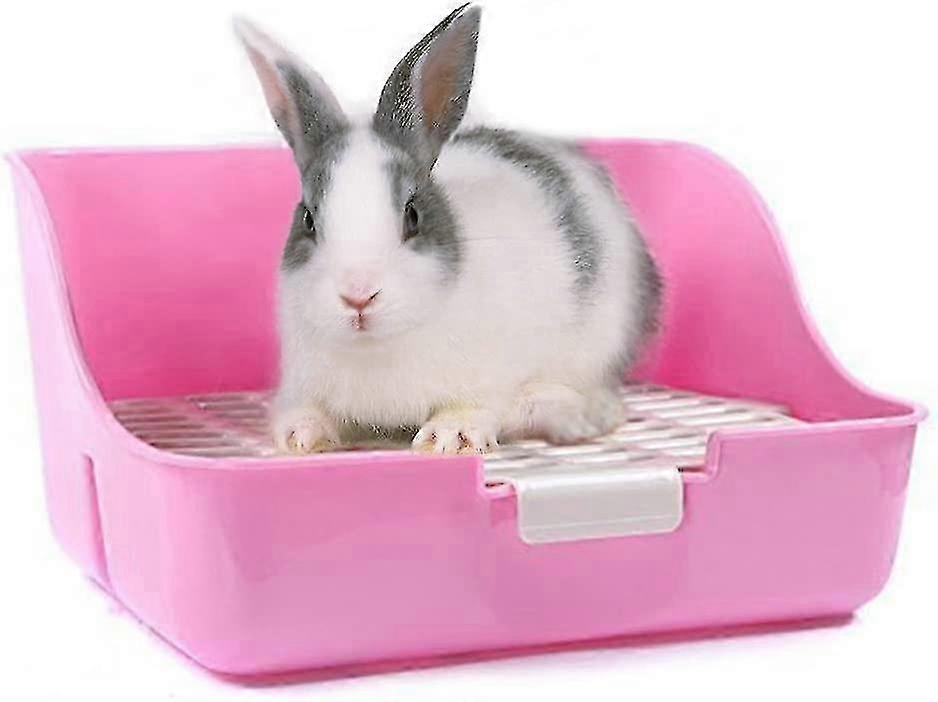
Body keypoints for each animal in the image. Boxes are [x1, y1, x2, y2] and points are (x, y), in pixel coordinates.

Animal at [235, 3, 661, 455]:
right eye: (309, 220)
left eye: (413, 215)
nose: (358, 296)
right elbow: (309, 411)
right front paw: (301, 435)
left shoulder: (487, 380)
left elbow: (472, 407)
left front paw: (451, 438)